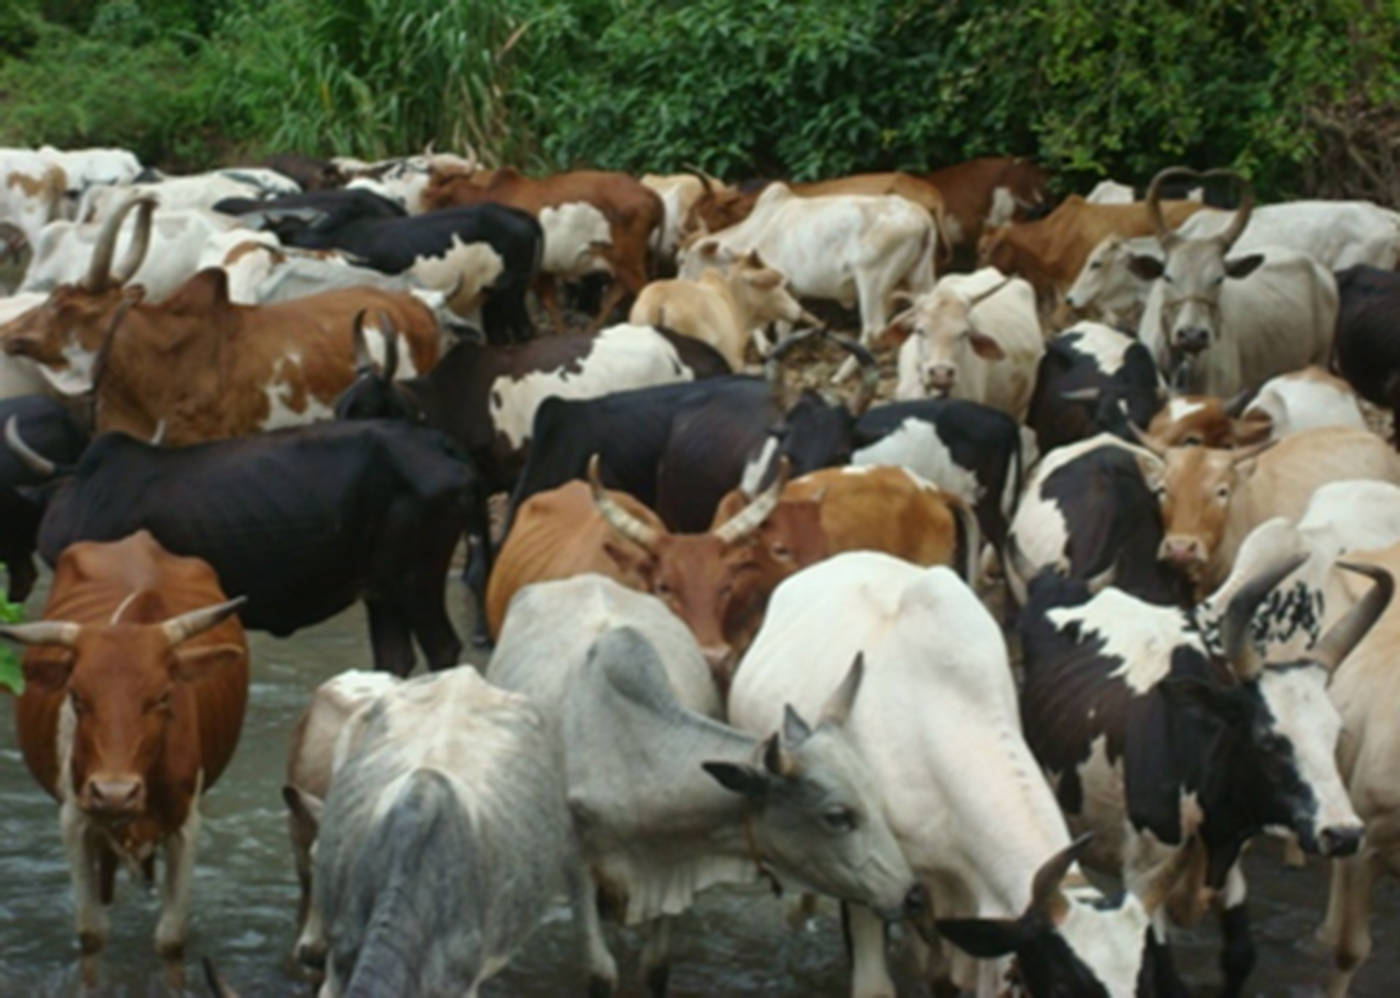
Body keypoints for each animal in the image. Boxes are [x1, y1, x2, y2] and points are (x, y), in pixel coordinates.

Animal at [0, 530, 248, 987]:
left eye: (164, 696)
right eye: (76, 697)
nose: (114, 792)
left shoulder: (187, 825)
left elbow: (171, 940)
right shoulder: (75, 820)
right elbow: (91, 934)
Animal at [487, 574, 923, 996]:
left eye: (876, 796)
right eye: (836, 816)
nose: (913, 894)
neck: (626, 747)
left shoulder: (673, 865)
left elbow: (656, 967)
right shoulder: (576, 866)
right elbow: (601, 973)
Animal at [677, 183, 937, 365]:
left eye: (681, 259)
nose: (678, 284)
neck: (755, 231)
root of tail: (919, 215)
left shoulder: (775, 283)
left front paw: (768, 351)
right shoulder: (791, 291)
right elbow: (783, 326)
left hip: (872, 281)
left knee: (873, 330)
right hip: (920, 279)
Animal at [1016, 554, 1391, 998]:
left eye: (1336, 733)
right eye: (1267, 740)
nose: (1344, 834)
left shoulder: (1230, 863)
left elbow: (1240, 956)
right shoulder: (1142, 875)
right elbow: (1167, 977)